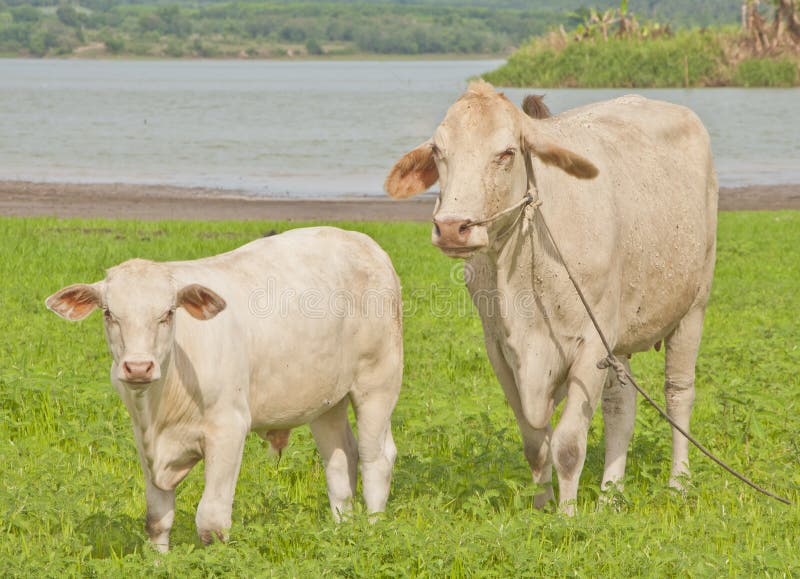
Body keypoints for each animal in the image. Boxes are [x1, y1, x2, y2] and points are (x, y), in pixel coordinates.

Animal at [46, 227, 403, 550]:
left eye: (168, 313)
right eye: (109, 313)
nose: (137, 367)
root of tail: (365, 244)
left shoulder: (229, 429)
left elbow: (211, 521)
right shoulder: (143, 437)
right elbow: (157, 520)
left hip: (378, 382)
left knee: (376, 459)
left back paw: (373, 533)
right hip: (327, 401)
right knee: (341, 462)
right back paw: (343, 530)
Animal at [385, 81, 717, 514]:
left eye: (506, 152)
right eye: (439, 151)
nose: (453, 227)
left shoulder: (592, 342)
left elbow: (568, 445)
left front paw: (567, 514)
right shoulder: (501, 349)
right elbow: (534, 442)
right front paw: (541, 506)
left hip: (692, 306)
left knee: (678, 394)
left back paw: (678, 482)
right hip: (620, 335)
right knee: (620, 408)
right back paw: (610, 495)